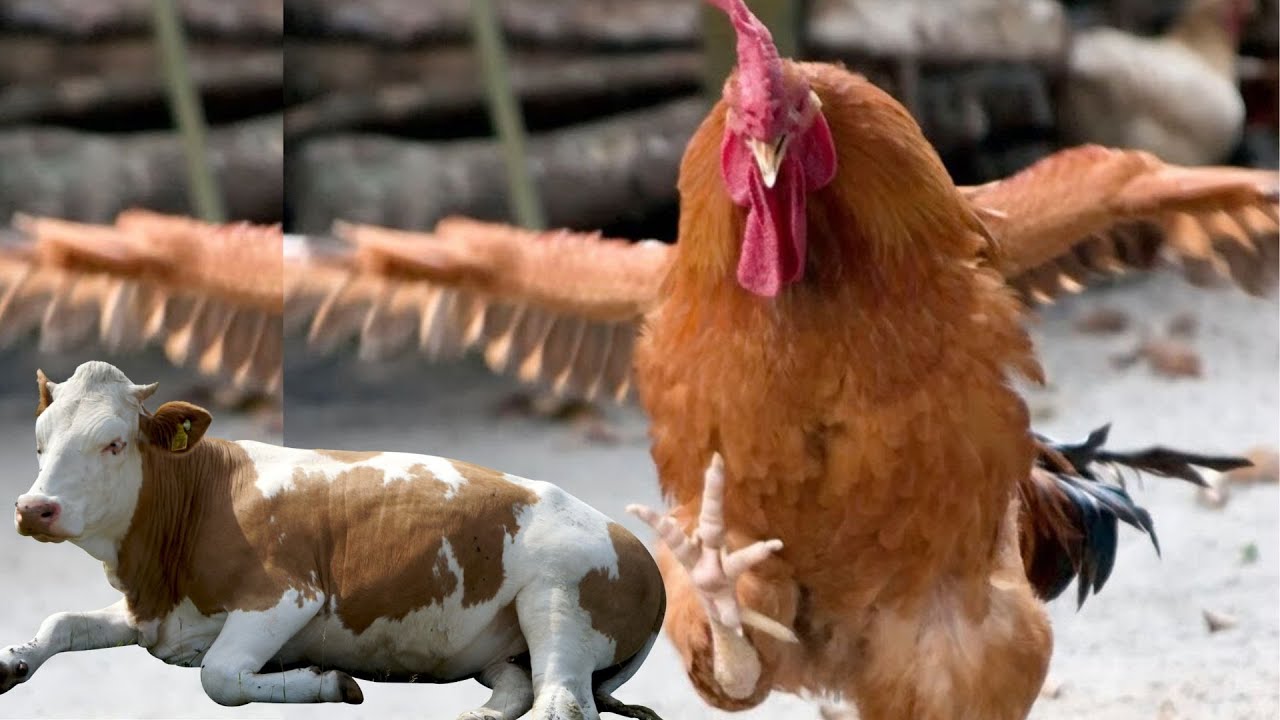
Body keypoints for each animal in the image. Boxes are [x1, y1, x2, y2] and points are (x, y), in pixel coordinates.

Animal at [1, 361, 665, 720]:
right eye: (38, 441)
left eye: (114, 443)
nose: (34, 509)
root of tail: (638, 549)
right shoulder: (154, 613)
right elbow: (60, 621)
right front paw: (12, 660)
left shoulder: (289, 594)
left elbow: (218, 676)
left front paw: (329, 682)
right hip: (505, 648)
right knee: (517, 685)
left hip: (559, 597)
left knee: (562, 702)